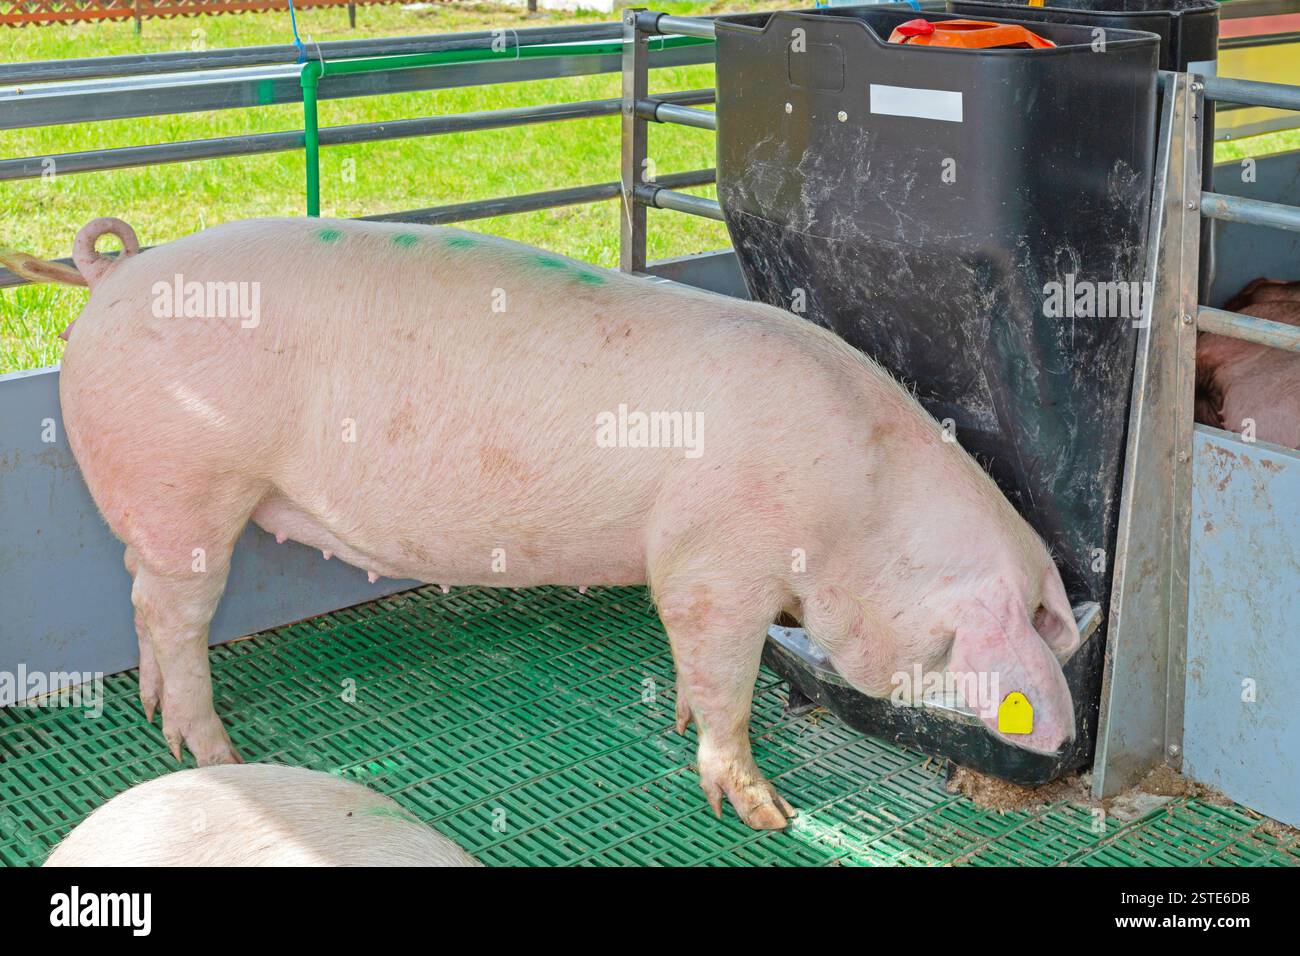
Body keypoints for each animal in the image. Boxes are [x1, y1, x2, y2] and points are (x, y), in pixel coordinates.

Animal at [8, 216, 1081, 830]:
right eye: (1025, 620)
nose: (1066, 739)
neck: (863, 509)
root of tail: (111, 278)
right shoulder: (712, 559)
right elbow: (721, 673)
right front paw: (767, 815)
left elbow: (696, 672)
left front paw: (685, 725)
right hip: (188, 483)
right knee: (176, 617)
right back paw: (220, 754)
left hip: (158, 509)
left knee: (147, 610)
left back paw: (168, 725)